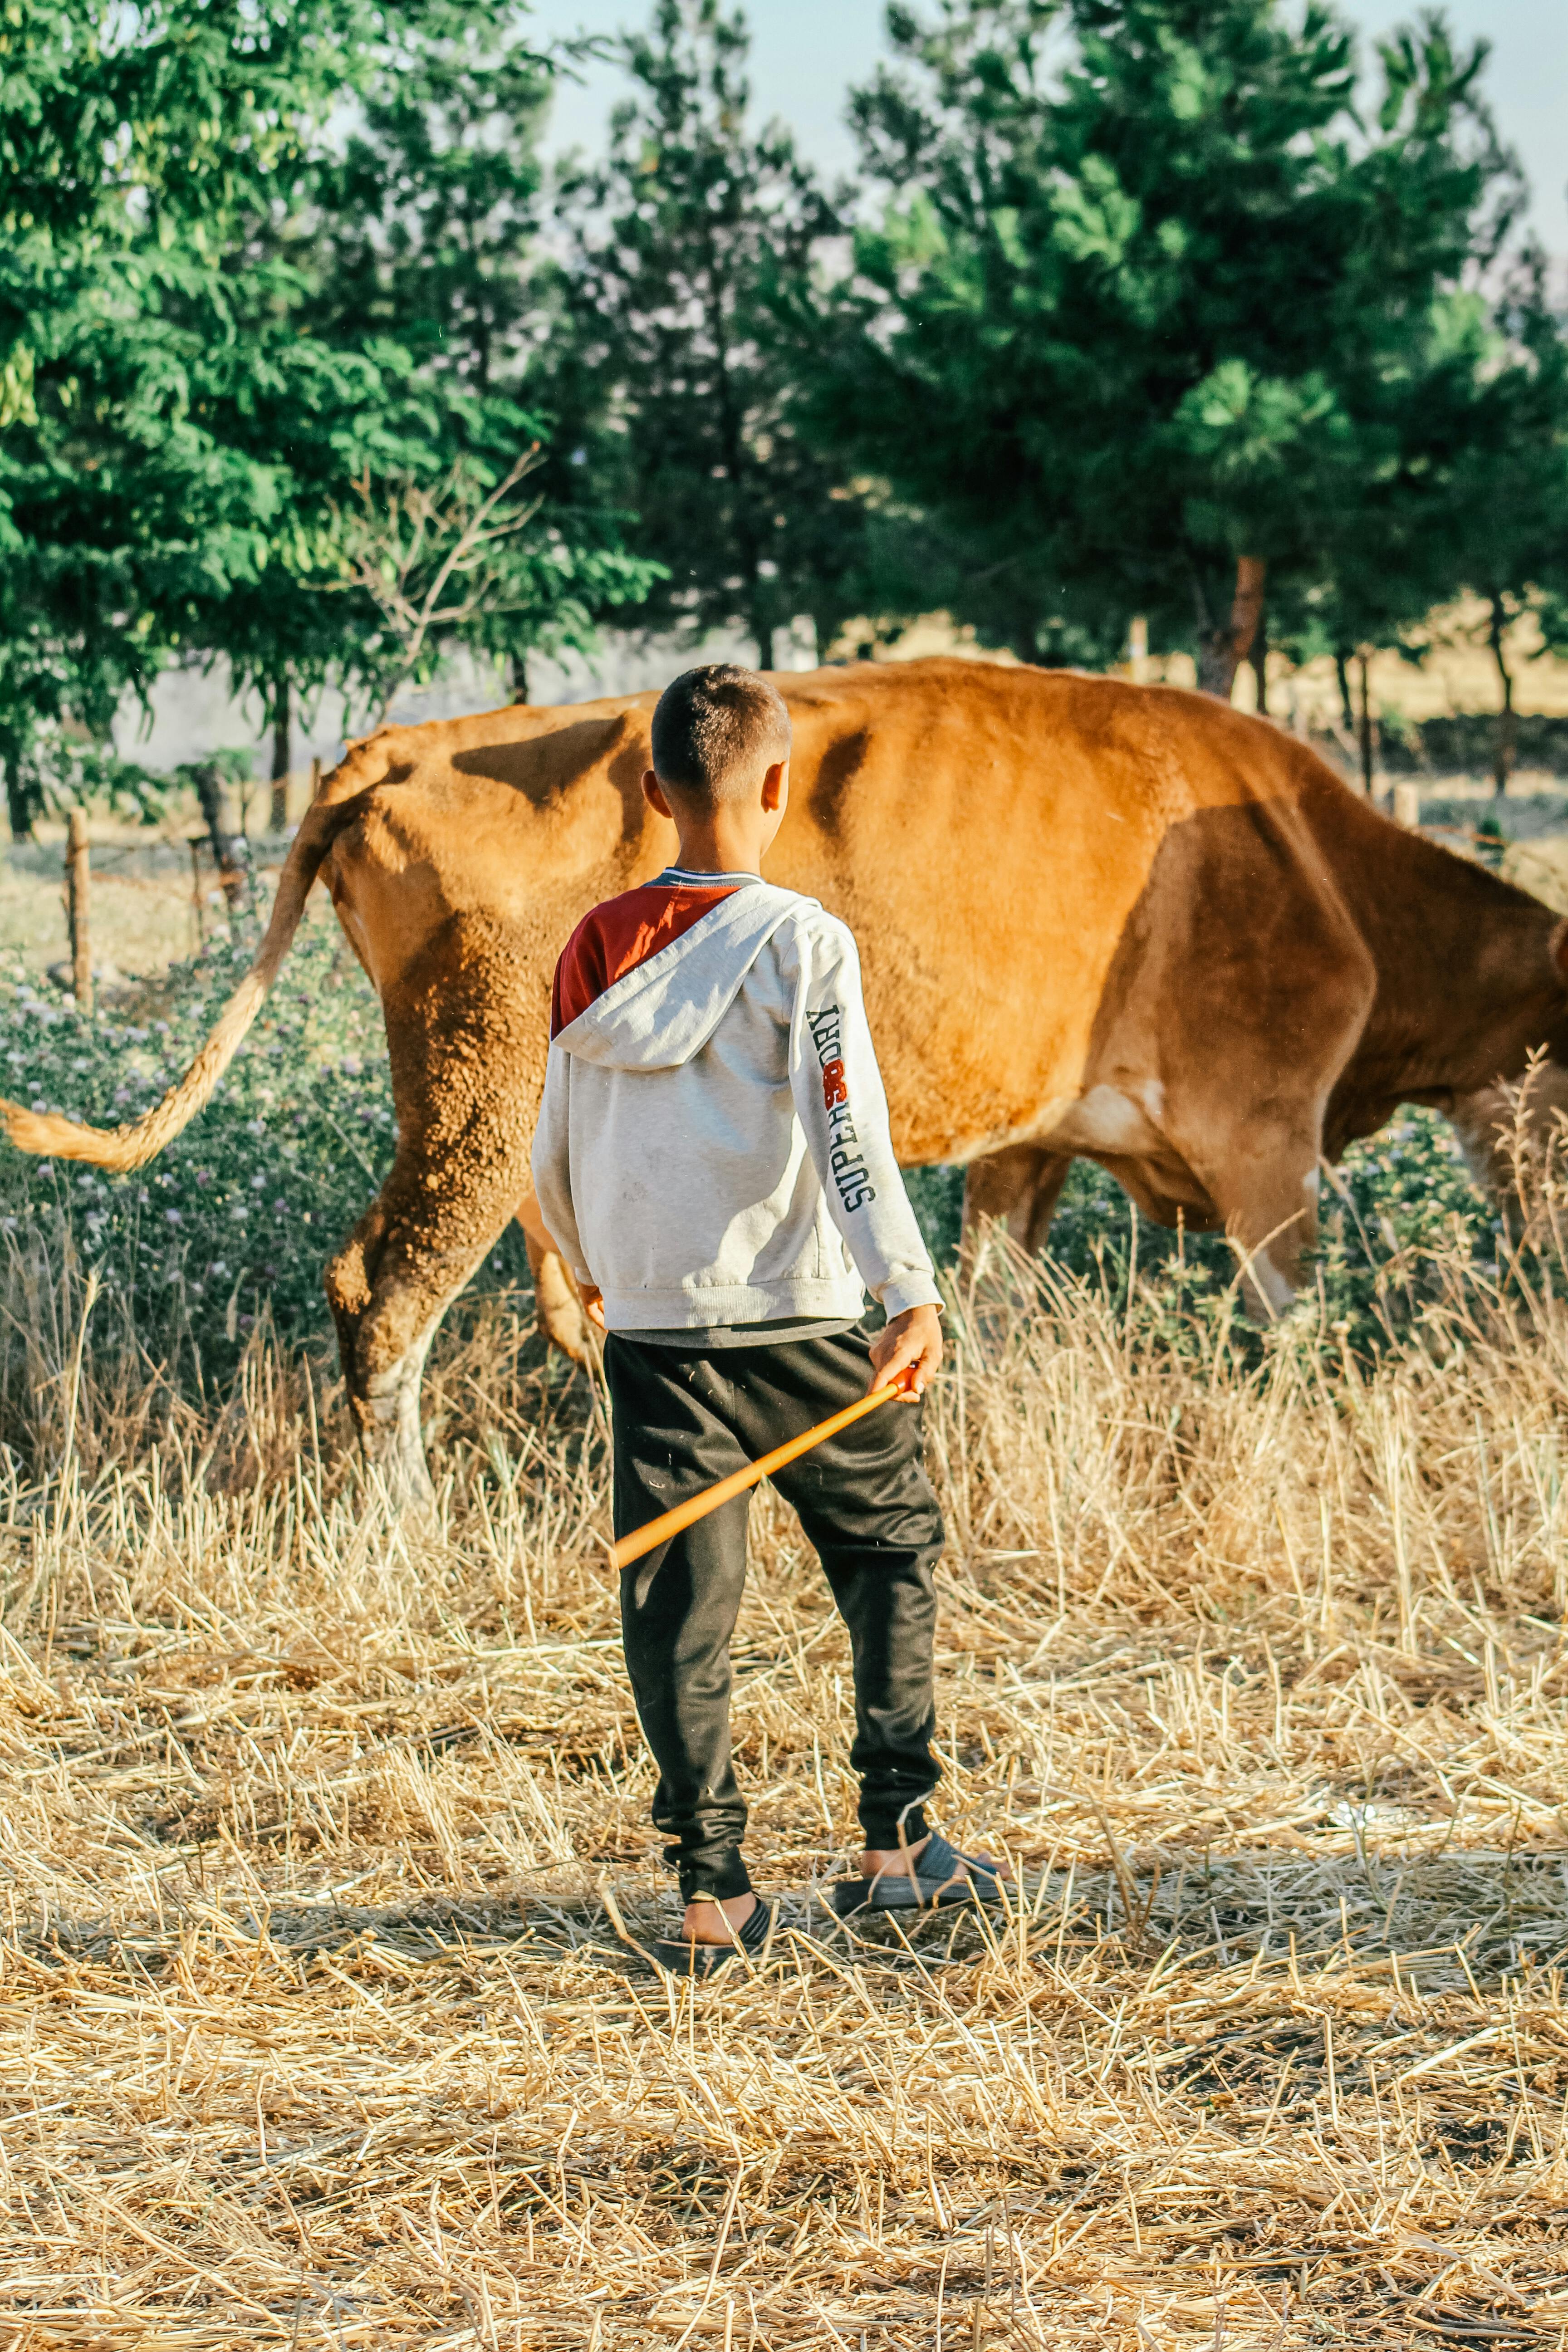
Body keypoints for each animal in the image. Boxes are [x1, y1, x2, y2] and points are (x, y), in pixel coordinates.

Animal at [5, 658, 1567, 1501]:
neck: (1338, 878)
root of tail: (414, 744)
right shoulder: (1265, 1132)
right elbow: (1295, 1327)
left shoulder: (1033, 1137)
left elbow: (991, 1295)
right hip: (476, 1096)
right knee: (384, 1292)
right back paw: (402, 1527)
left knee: (575, 1310)